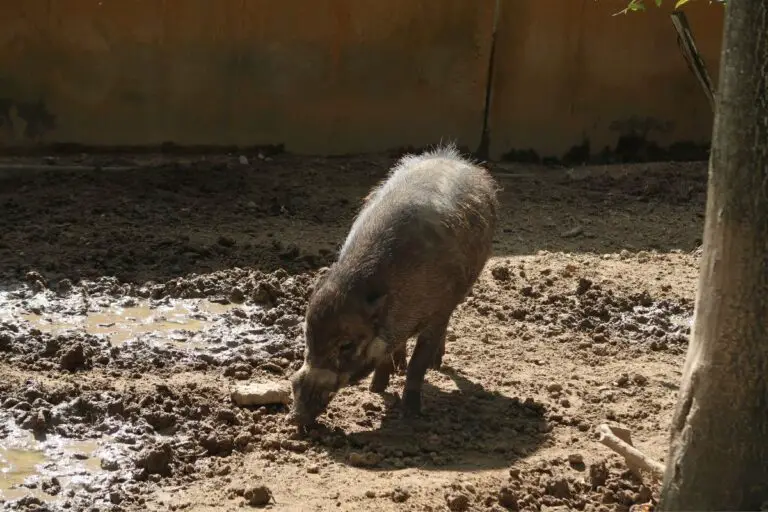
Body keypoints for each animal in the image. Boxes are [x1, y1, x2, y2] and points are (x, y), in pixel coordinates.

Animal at [290, 144, 499, 426]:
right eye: (306, 336)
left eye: (346, 345)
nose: (295, 418)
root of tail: (454, 157)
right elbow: (385, 358)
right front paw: (375, 390)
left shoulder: (438, 310)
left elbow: (418, 363)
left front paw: (411, 412)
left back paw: (436, 365)